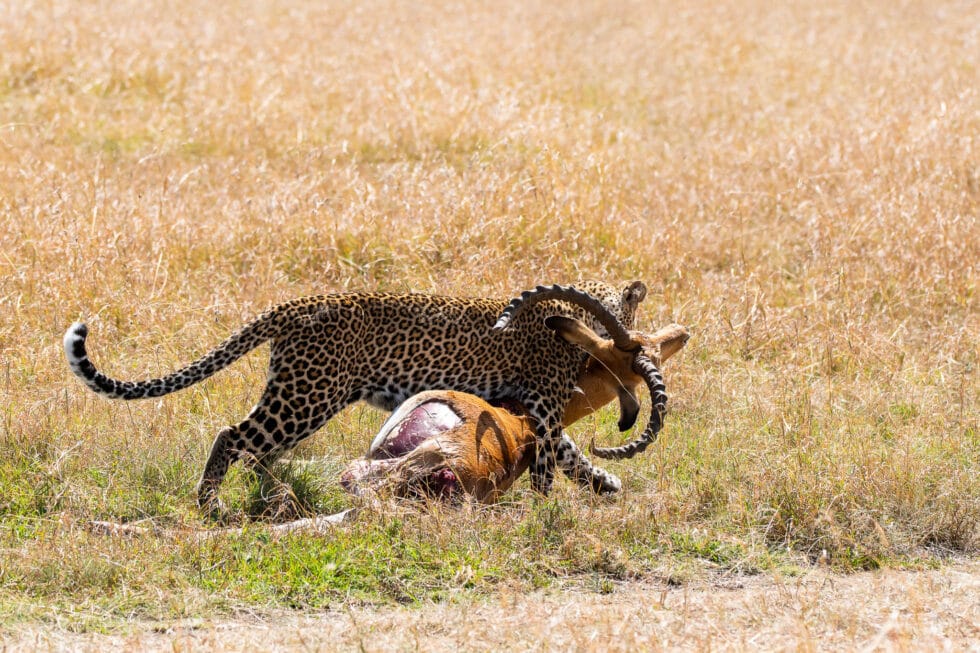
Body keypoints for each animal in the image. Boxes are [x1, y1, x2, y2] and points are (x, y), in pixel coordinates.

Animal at [63, 281, 649, 513]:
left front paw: (603, 482)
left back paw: (275, 497)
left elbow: (568, 454)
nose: (617, 342)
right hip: (307, 395)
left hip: (297, 394)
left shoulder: (529, 408)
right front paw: (550, 508)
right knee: (234, 436)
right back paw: (212, 505)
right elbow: (552, 458)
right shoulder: (544, 405)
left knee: (259, 453)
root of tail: (298, 304)